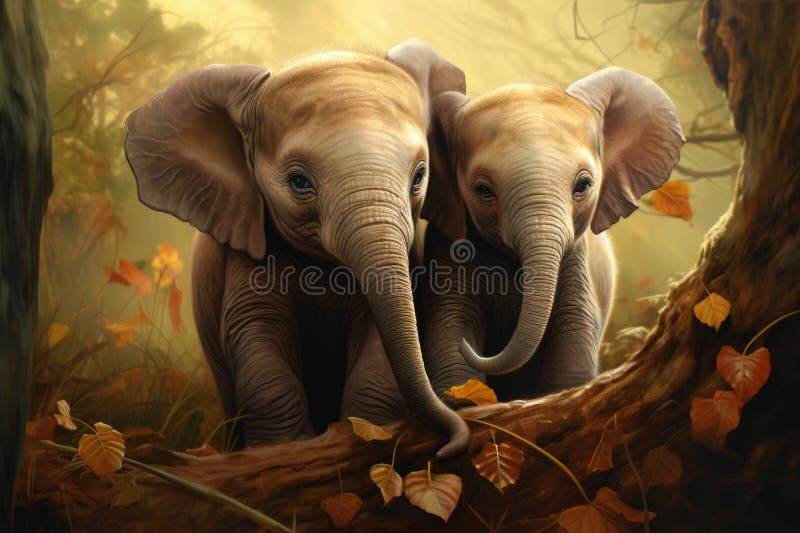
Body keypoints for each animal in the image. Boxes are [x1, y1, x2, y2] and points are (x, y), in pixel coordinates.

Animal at [124, 40, 471, 459]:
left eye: (420, 175)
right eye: (299, 181)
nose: (446, 449)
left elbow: (380, 339)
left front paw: (362, 433)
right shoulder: (250, 244)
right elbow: (257, 333)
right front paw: (283, 450)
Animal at [417, 67, 684, 400]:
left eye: (583, 185)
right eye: (483, 191)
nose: (477, 351)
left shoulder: (578, 265)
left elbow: (573, 339)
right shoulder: (448, 247)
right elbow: (452, 327)